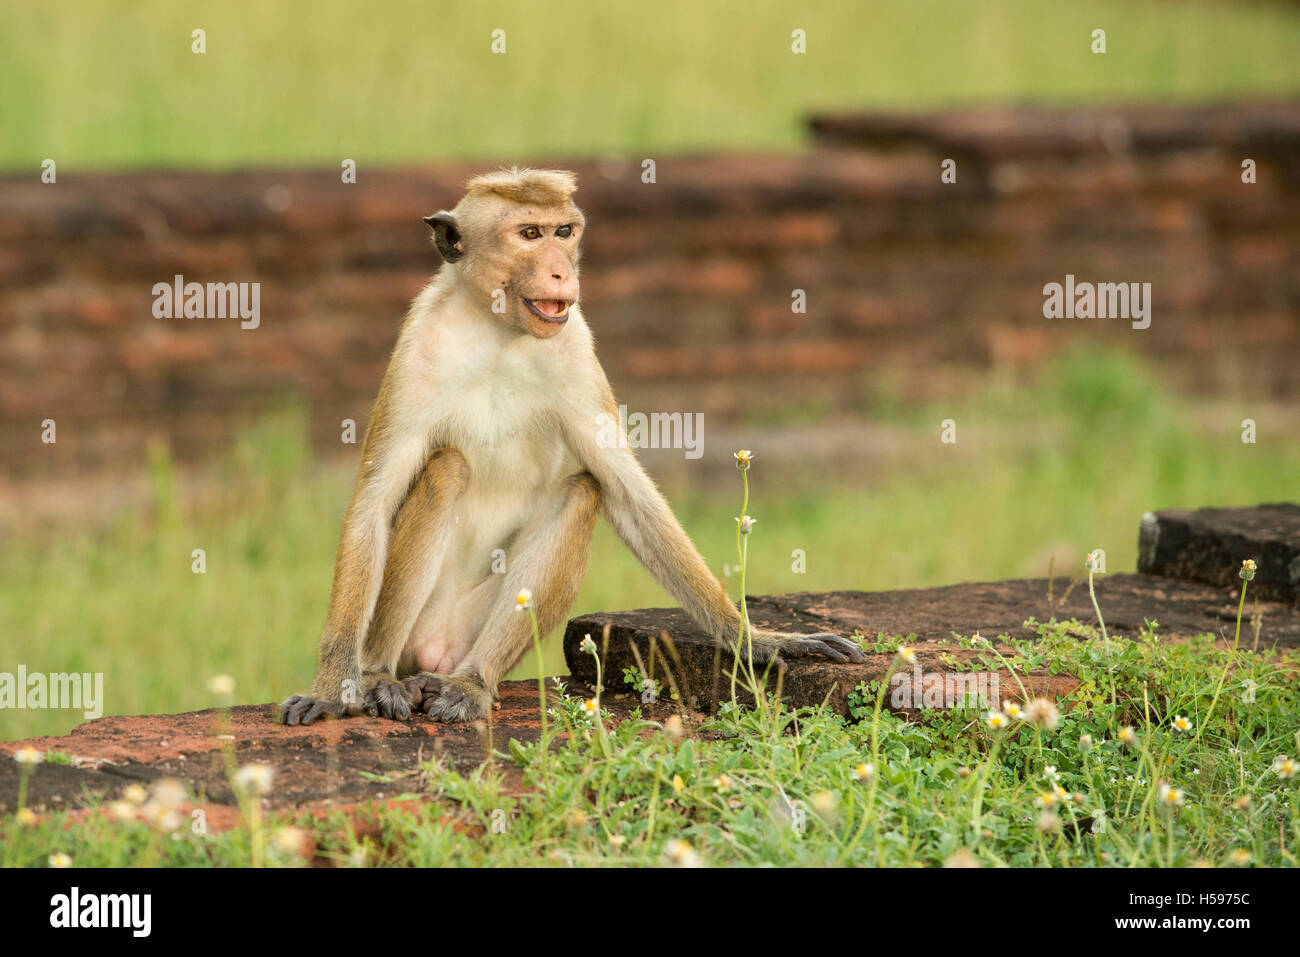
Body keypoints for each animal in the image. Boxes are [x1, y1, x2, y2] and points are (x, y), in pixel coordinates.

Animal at [278, 168, 863, 726]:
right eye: (529, 234)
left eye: (564, 231)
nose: (562, 270)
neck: (498, 330)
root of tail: (434, 656)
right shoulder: (415, 350)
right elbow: (374, 504)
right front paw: (333, 690)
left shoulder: (575, 349)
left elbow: (629, 496)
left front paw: (756, 640)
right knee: (445, 470)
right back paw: (380, 677)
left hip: (471, 627)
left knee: (584, 489)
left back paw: (470, 683)